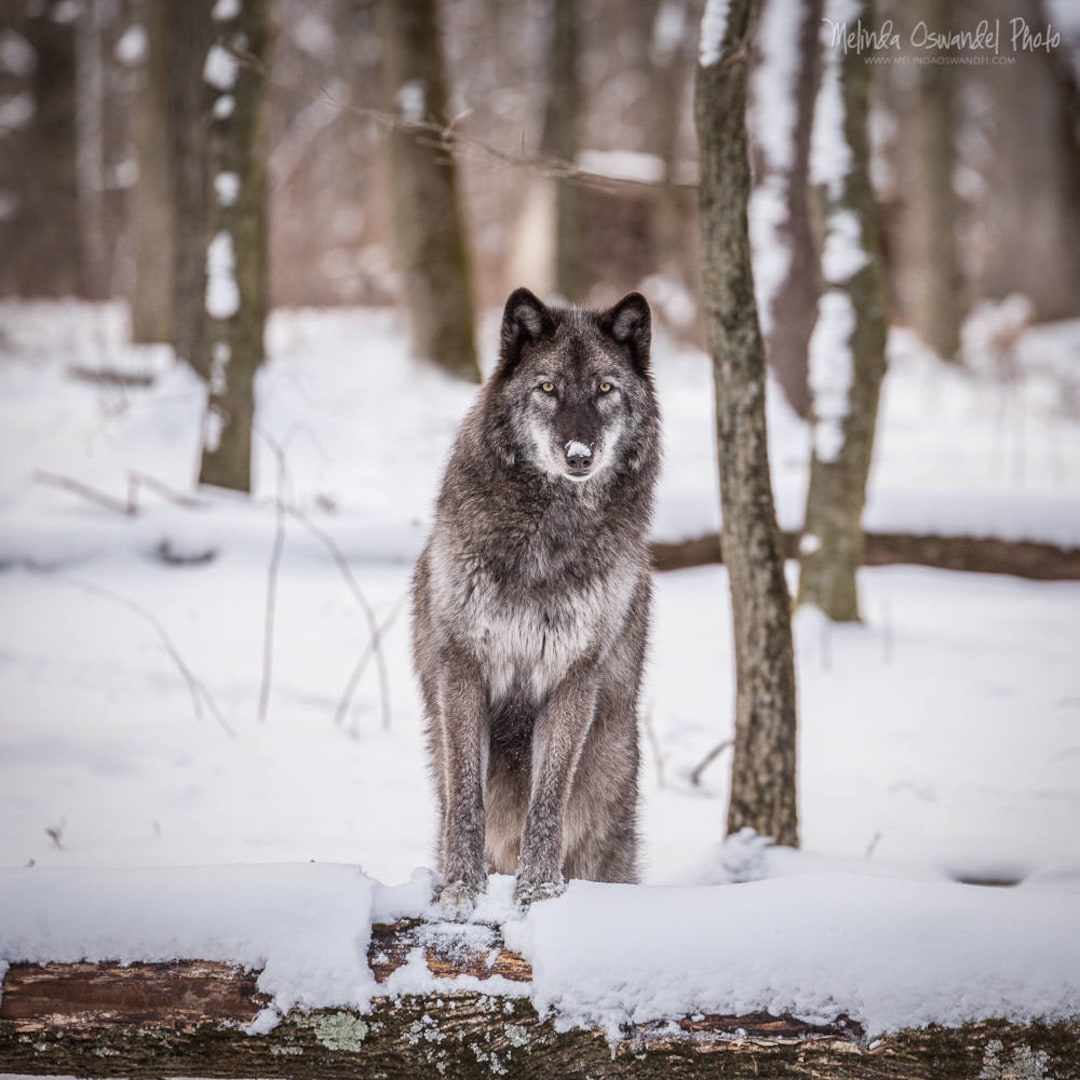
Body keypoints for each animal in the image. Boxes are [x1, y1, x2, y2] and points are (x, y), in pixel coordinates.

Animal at [411, 286, 661, 918]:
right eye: (547, 387)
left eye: (605, 388)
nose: (578, 454)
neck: (547, 536)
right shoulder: (464, 667)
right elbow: (467, 798)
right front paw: (460, 890)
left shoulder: (571, 675)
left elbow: (547, 801)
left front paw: (541, 892)